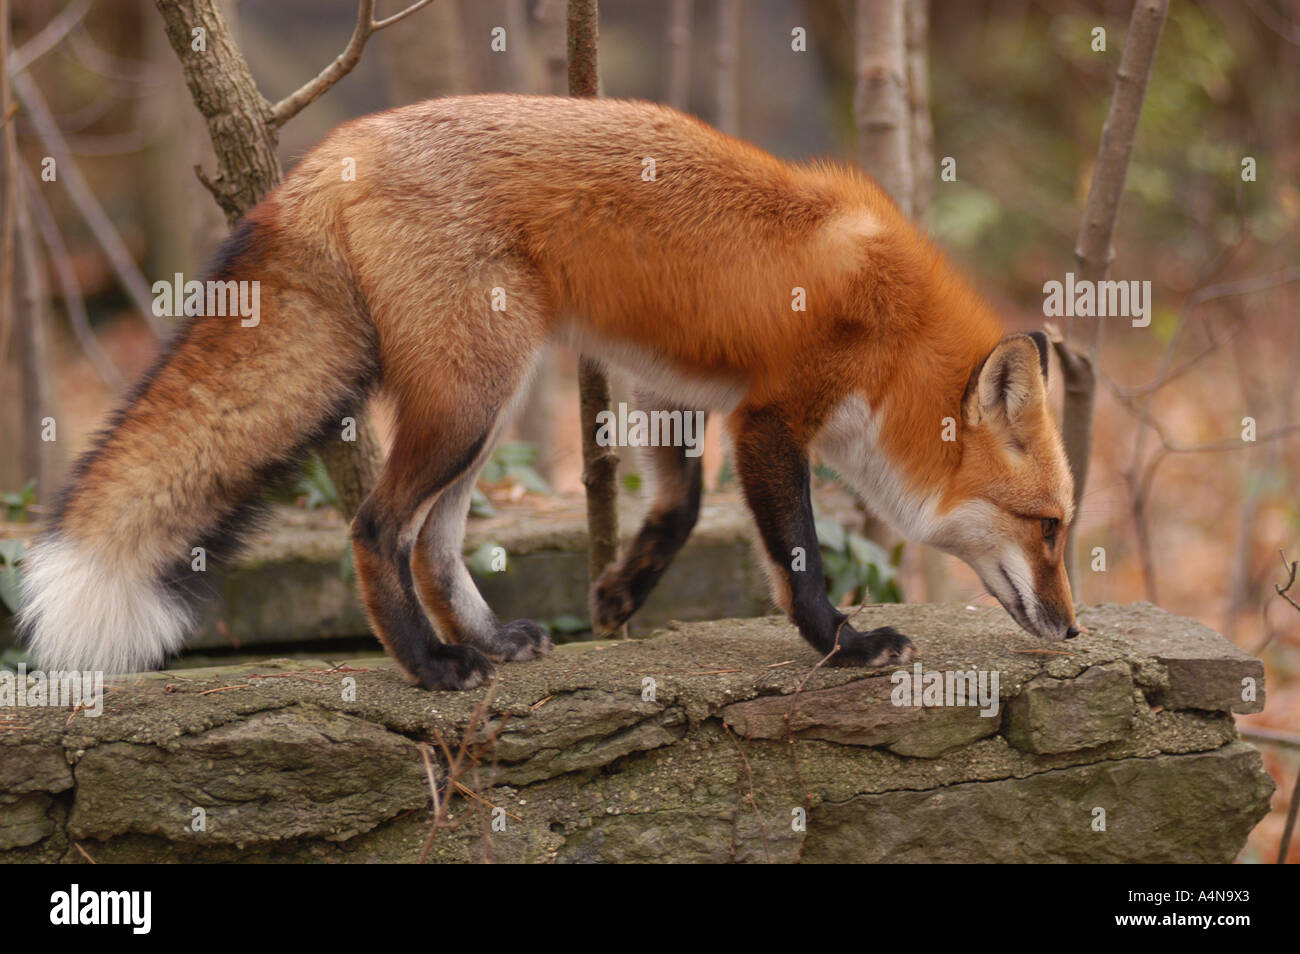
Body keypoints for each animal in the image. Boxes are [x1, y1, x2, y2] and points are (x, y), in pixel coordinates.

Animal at [18, 94, 1078, 691]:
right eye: (1052, 528)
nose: (1071, 628)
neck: (893, 334)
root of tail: (335, 149)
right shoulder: (770, 416)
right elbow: (802, 563)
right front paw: (844, 648)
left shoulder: (667, 381)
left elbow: (681, 502)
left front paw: (621, 592)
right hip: (470, 400)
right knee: (377, 528)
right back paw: (432, 667)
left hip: (488, 397)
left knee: (434, 546)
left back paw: (489, 640)